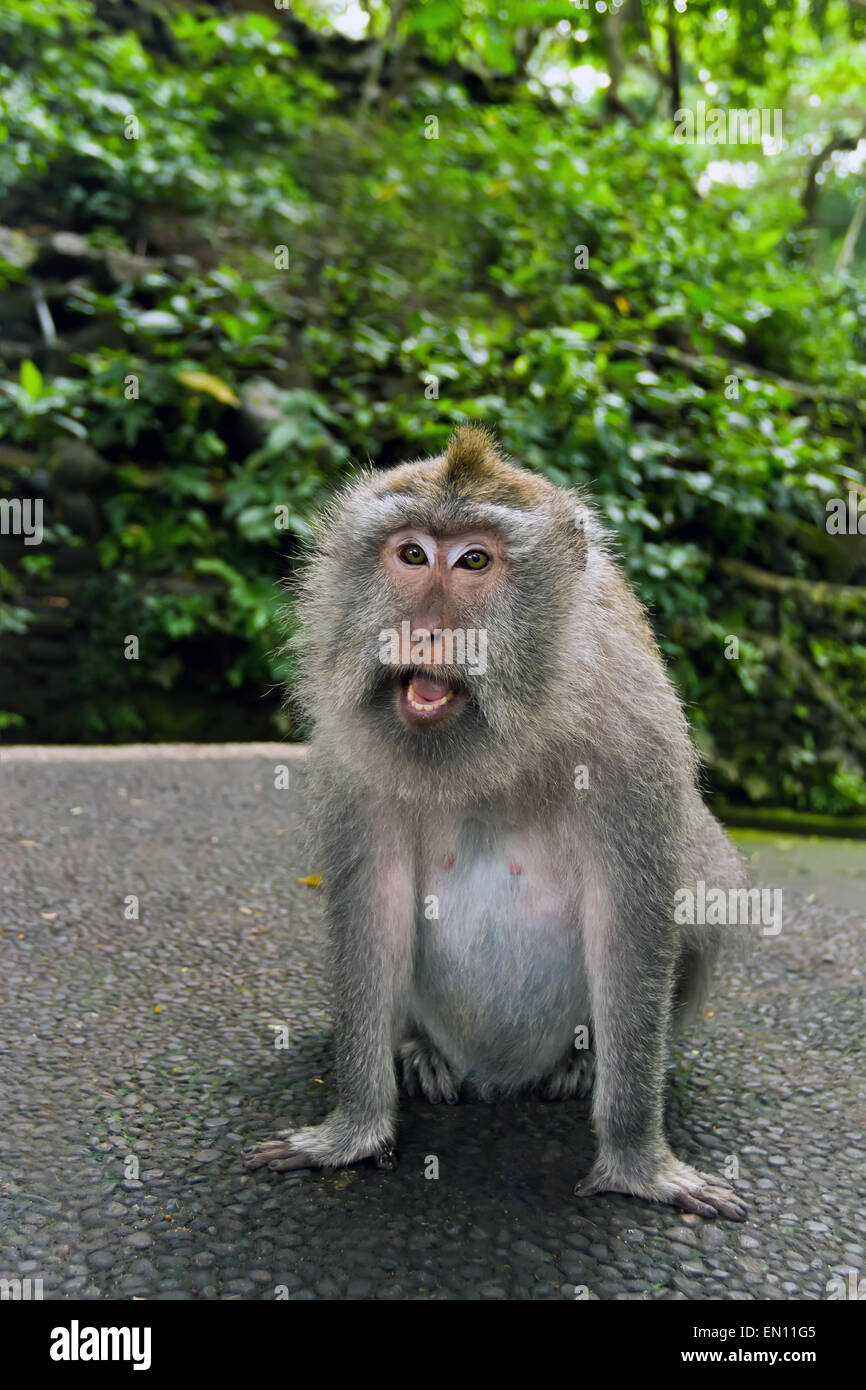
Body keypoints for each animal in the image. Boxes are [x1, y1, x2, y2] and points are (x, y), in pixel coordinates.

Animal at [244, 424, 748, 1220]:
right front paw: (353, 1131)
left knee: (710, 883)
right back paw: (420, 1050)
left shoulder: (637, 739)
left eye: (474, 560)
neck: (496, 742)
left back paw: (578, 1063)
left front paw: (637, 1161)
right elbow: (373, 904)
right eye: (413, 555)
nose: (424, 634)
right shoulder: (354, 755)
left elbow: (634, 918)